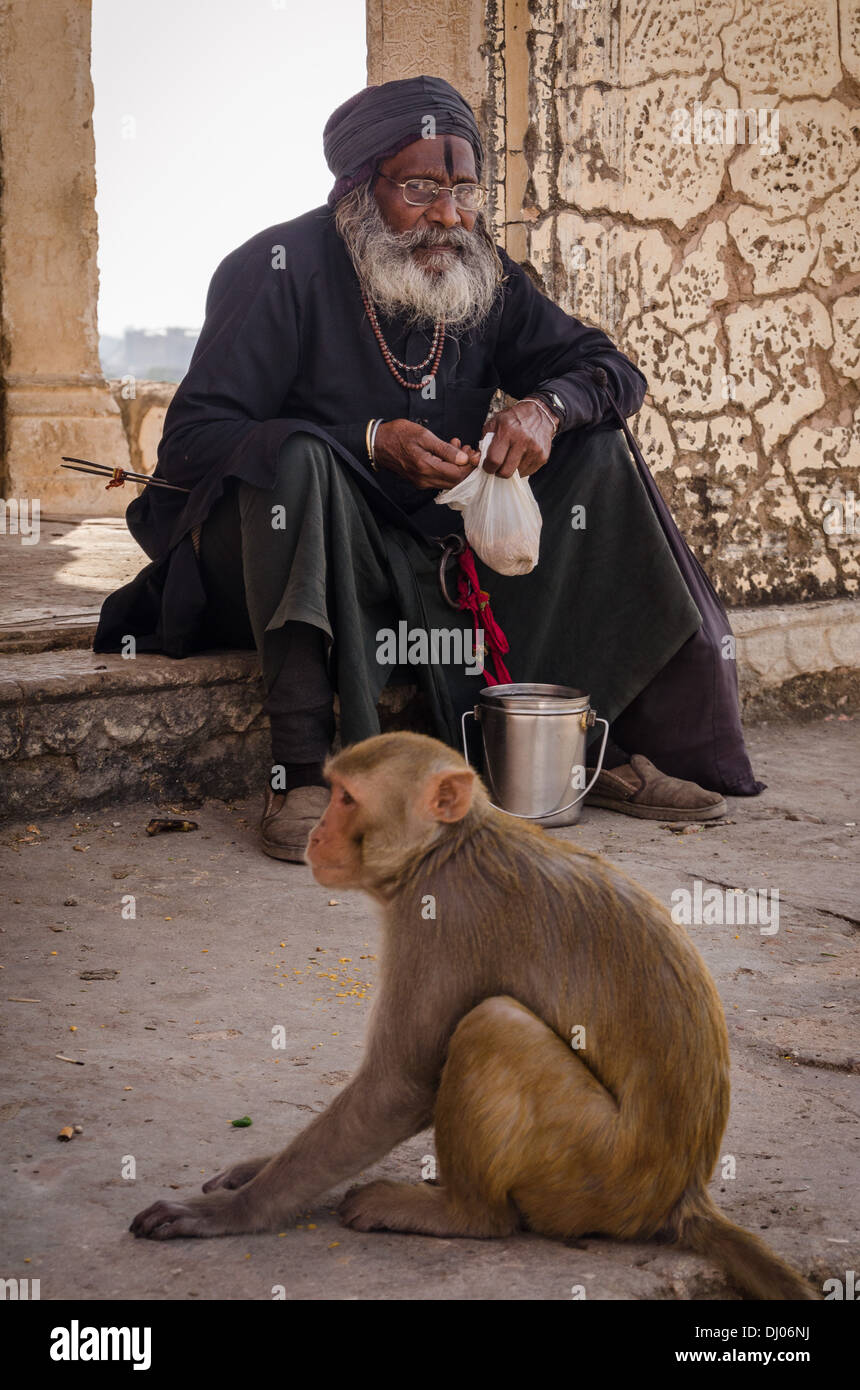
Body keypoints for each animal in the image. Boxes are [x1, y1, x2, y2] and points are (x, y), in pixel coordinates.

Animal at [130, 731, 817, 1300]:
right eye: (331, 794)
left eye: (347, 798)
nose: (315, 833)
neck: (447, 845)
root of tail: (680, 1198)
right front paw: (257, 1168)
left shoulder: (441, 914)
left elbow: (401, 1083)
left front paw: (232, 1213)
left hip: (598, 1172)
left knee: (493, 1025)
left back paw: (460, 1215)